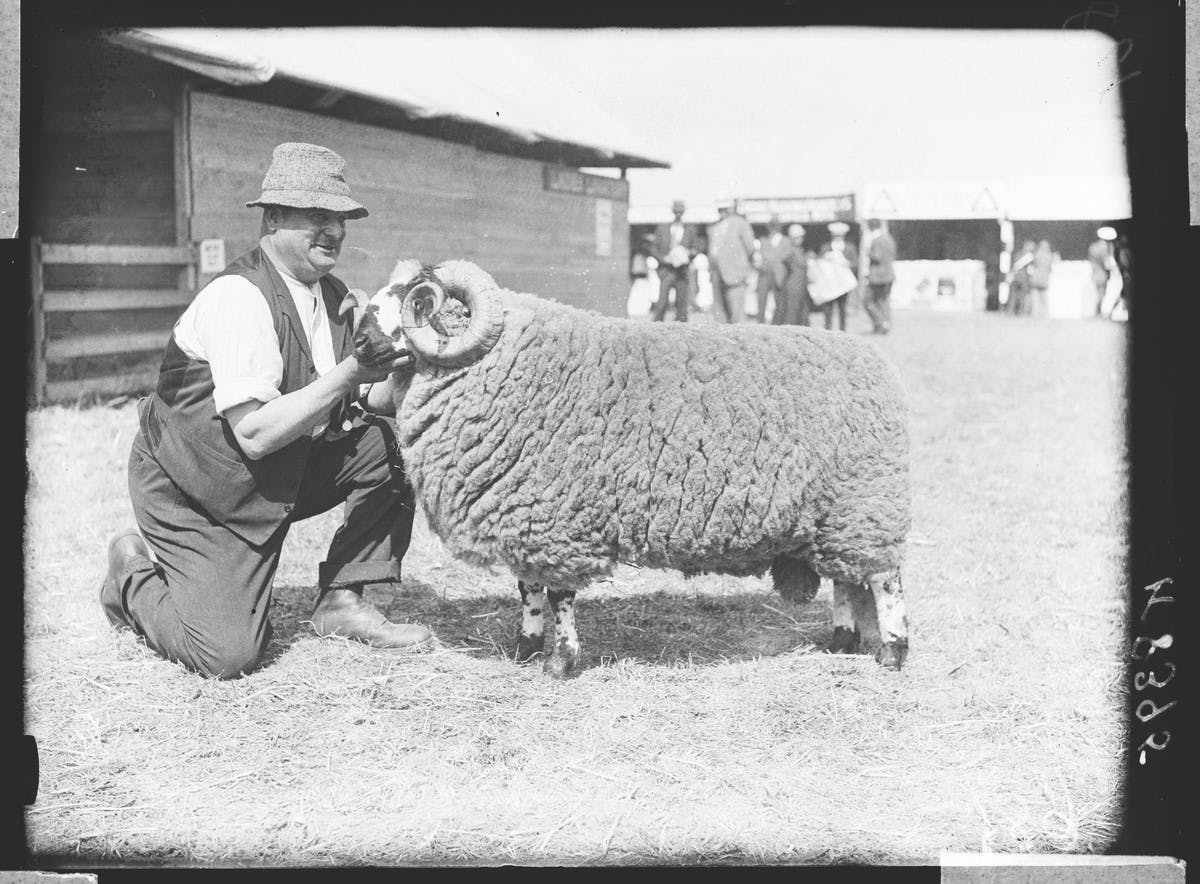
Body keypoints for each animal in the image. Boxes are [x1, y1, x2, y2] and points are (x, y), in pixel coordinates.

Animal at [346, 258, 912, 677]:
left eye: (418, 300)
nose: (357, 343)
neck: (497, 361)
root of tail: (874, 363)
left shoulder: (557, 519)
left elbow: (559, 594)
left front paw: (561, 662)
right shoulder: (522, 511)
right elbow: (529, 590)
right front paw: (525, 649)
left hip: (867, 505)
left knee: (884, 580)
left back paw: (892, 653)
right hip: (835, 517)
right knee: (845, 579)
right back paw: (841, 642)